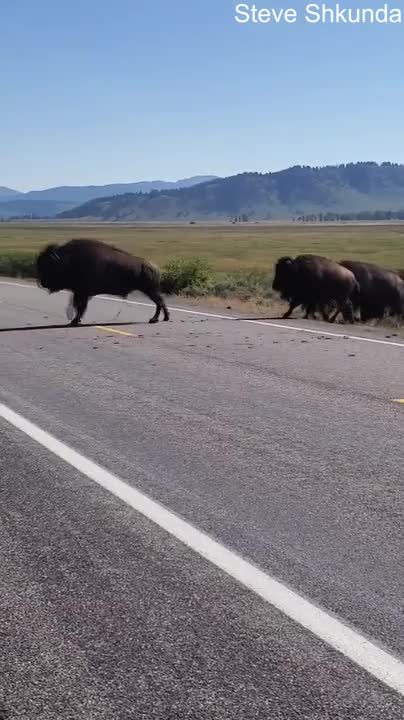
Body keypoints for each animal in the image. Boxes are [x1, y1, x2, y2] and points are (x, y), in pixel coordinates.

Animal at [35, 238, 170, 326]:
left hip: (150, 290)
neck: (67, 260)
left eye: (48, 265)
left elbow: (80, 307)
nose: (42, 282)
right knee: (161, 301)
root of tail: (153, 266)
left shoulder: (82, 292)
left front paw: (75, 321)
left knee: (159, 302)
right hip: (151, 290)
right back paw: (164, 318)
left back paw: (154, 319)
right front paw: (76, 320)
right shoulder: (80, 293)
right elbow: (79, 306)